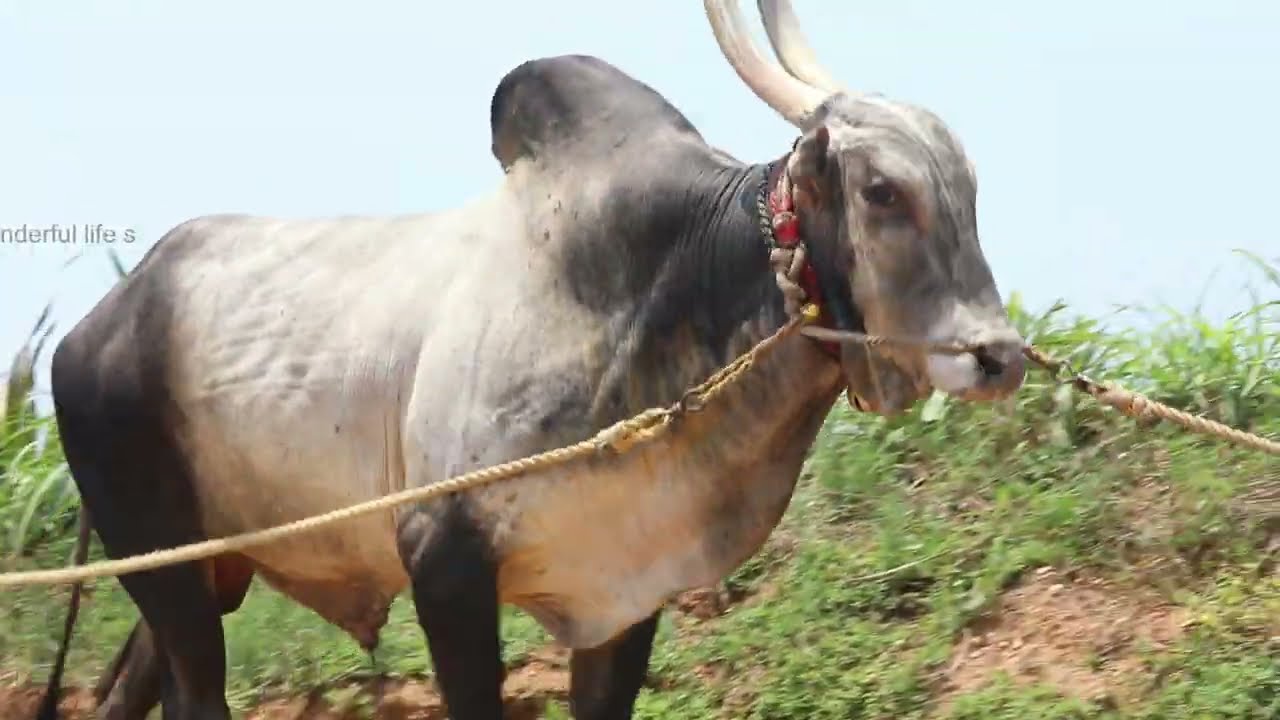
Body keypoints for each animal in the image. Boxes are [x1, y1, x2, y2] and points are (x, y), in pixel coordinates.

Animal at [34, 1, 1027, 718]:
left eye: (971, 188)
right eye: (883, 191)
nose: (1001, 357)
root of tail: (96, 325)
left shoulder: (624, 599)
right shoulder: (446, 567)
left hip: (208, 568)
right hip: (159, 561)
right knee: (195, 694)